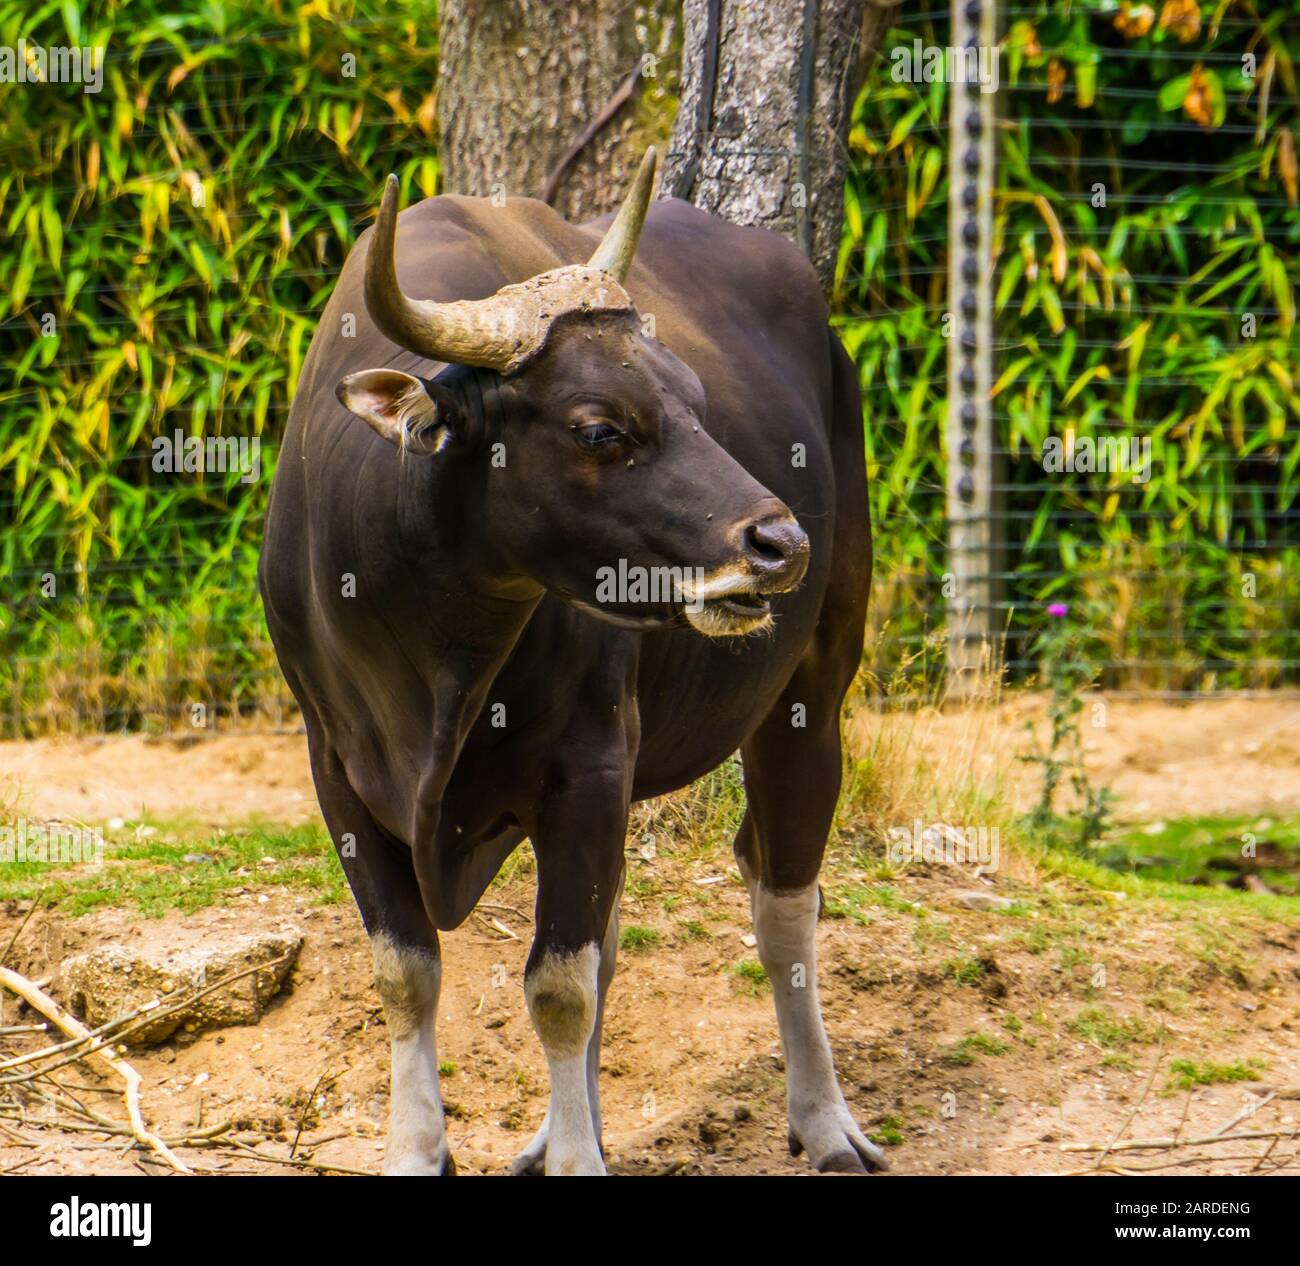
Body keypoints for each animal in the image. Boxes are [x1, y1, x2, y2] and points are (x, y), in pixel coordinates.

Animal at [258, 147, 881, 1176]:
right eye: (600, 428)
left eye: (697, 404)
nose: (781, 543)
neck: (436, 656)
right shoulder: (336, 771)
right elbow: (407, 973)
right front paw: (425, 1148)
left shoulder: (584, 765)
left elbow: (557, 987)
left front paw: (580, 1157)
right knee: (621, 930)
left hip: (812, 691)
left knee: (783, 902)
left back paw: (825, 1122)